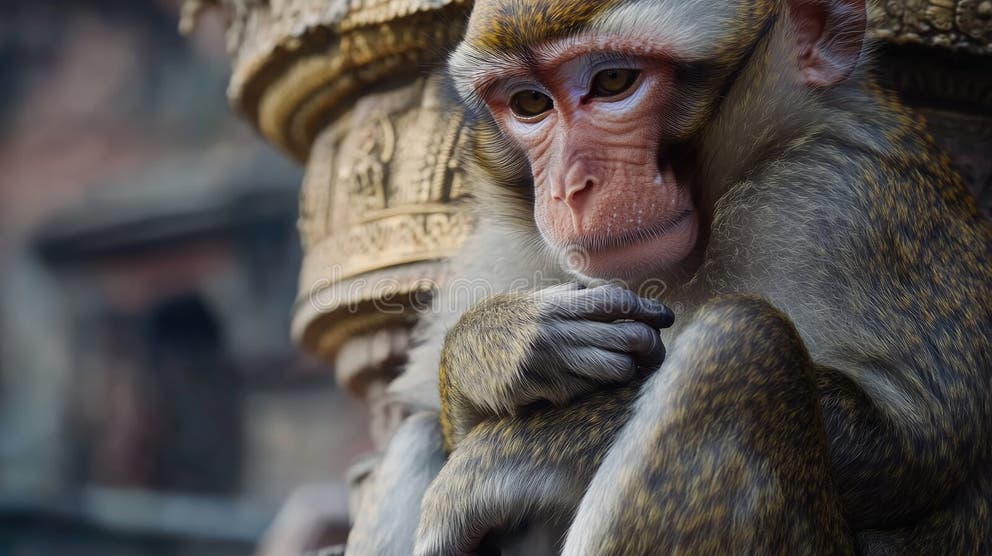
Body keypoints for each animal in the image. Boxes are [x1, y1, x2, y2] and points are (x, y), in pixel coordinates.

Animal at [403, 0, 992, 554]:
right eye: (530, 103)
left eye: (613, 82)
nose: (568, 188)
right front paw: (490, 349)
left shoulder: (843, 202)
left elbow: (914, 447)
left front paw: (509, 456)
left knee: (741, 341)